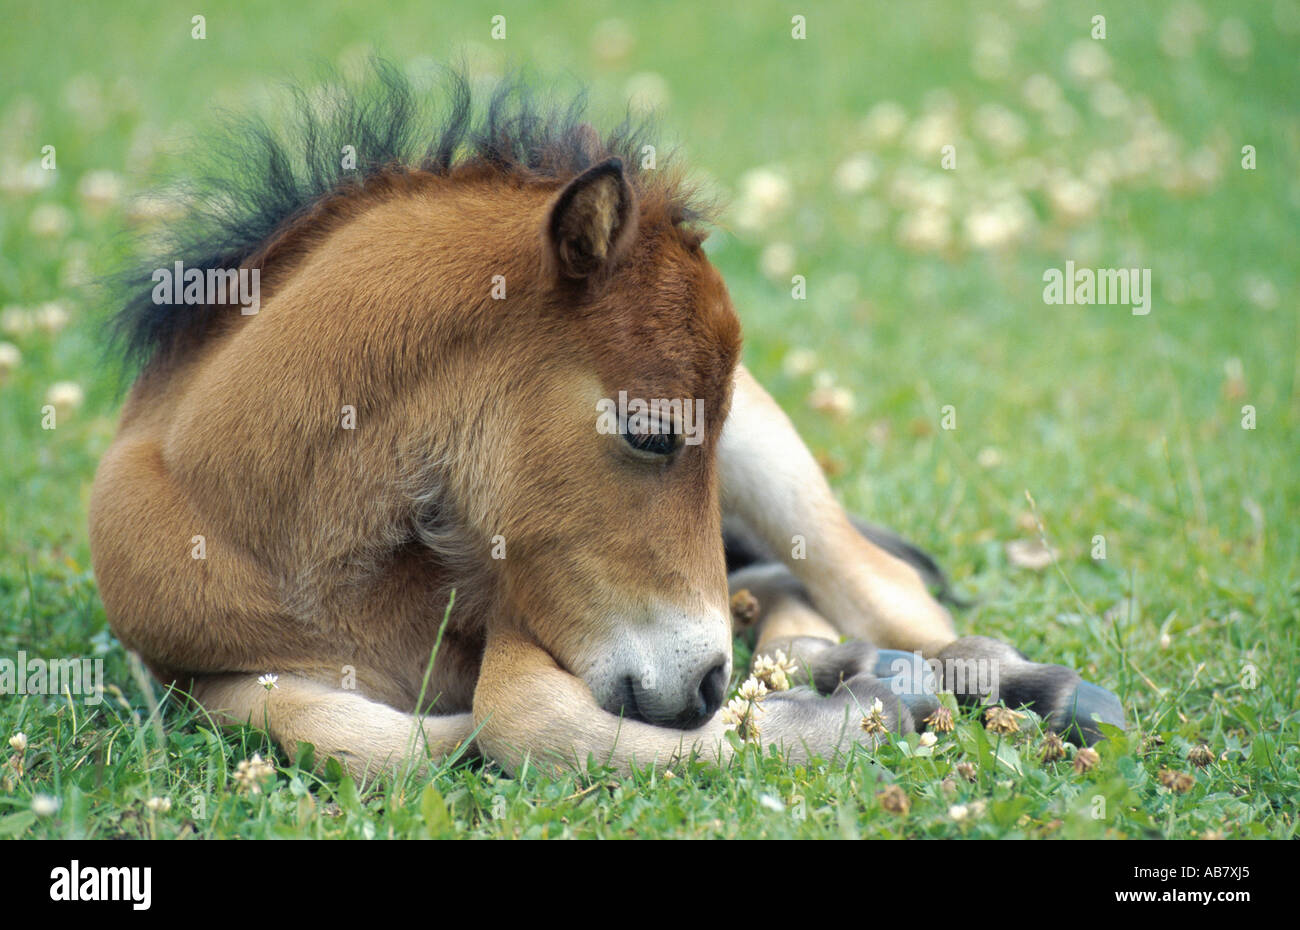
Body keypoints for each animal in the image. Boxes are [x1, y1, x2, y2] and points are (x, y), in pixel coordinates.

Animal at [89, 65, 1123, 778]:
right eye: (653, 432)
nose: (705, 685)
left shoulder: (527, 608)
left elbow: (513, 714)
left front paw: (834, 715)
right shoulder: (184, 672)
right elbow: (374, 739)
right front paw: (833, 700)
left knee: (879, 589)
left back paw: (1010, 681)